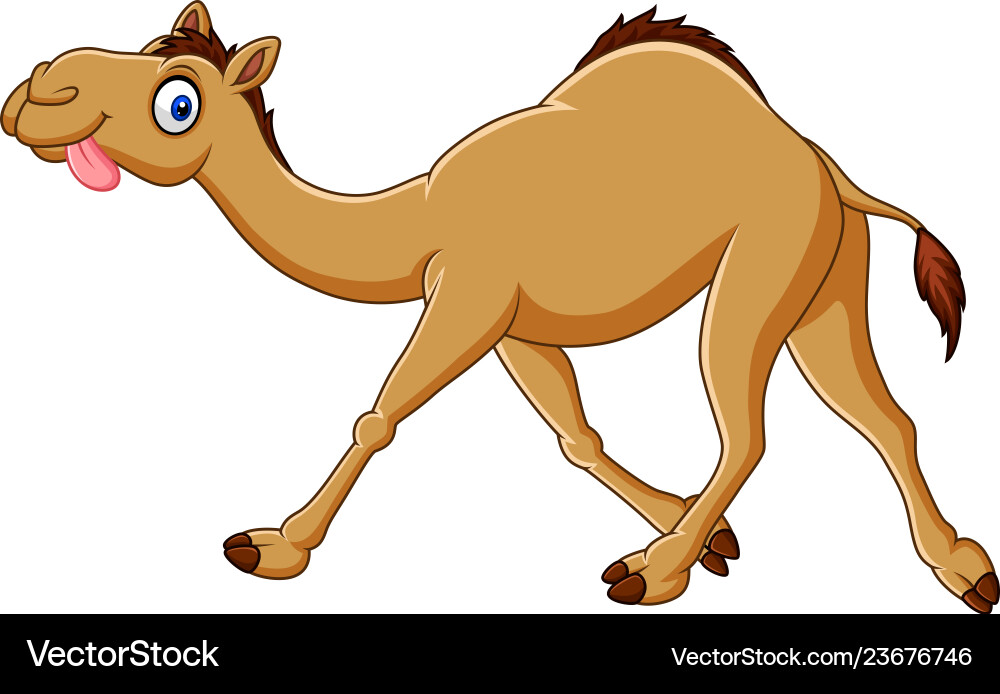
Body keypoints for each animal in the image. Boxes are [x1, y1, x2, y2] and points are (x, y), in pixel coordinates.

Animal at [2, 2, 995, 612]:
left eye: (178, 101)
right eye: (142, 48)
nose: (37, 91)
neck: (414, 218)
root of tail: (830, 166)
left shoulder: (468, 297)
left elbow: (379, 416)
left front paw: (273, 546)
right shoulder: (517, 331)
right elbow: (575, 436)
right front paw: (703, 533)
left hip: (760, 271)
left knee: (749, 431)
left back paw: (651, 575)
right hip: (823, 284)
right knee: (884, 418)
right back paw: (963, 570)